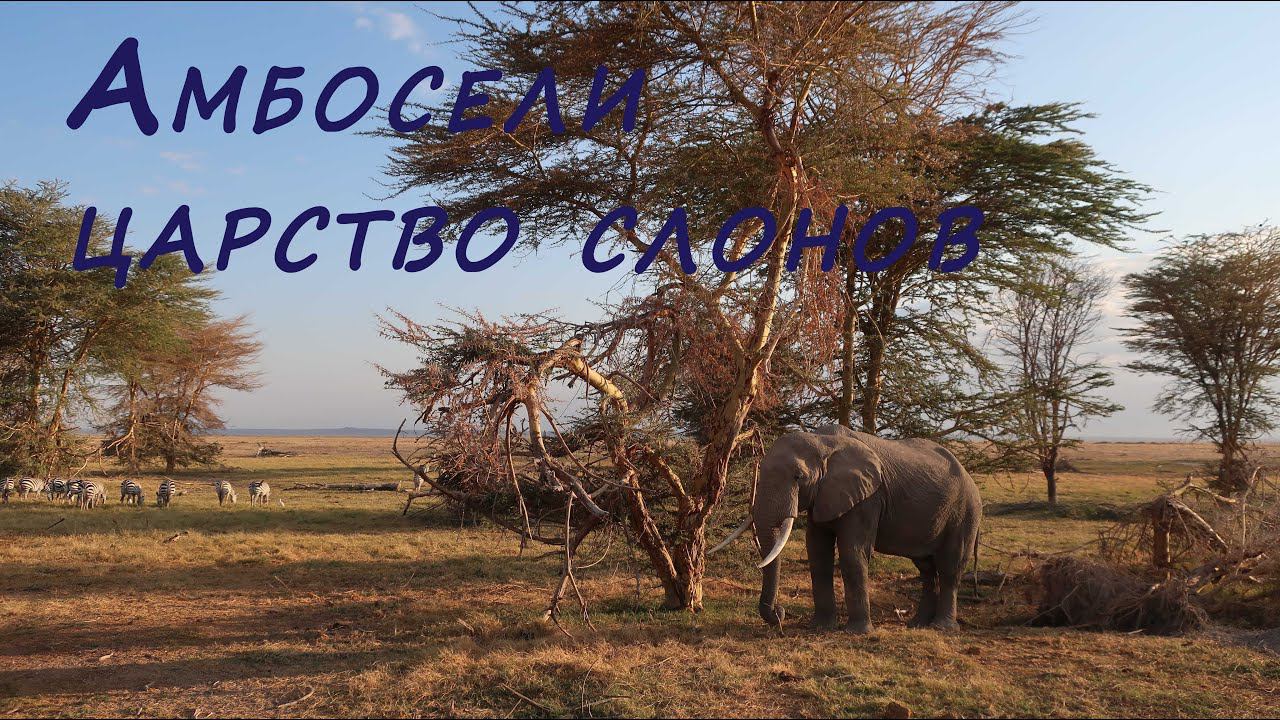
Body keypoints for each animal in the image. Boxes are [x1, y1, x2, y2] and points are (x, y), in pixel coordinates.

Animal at [713, 425, 981, 633]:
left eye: (799, 477)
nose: (780, 613)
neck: (822, 441)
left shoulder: (868, 498)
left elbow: (853, 553)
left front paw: (858, 632)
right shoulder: (825, 495)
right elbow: (817, 552)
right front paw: (820, 627)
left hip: (965, 512)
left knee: (950, 567)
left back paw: (942, 628)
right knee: (926, 568)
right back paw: (917, 625)